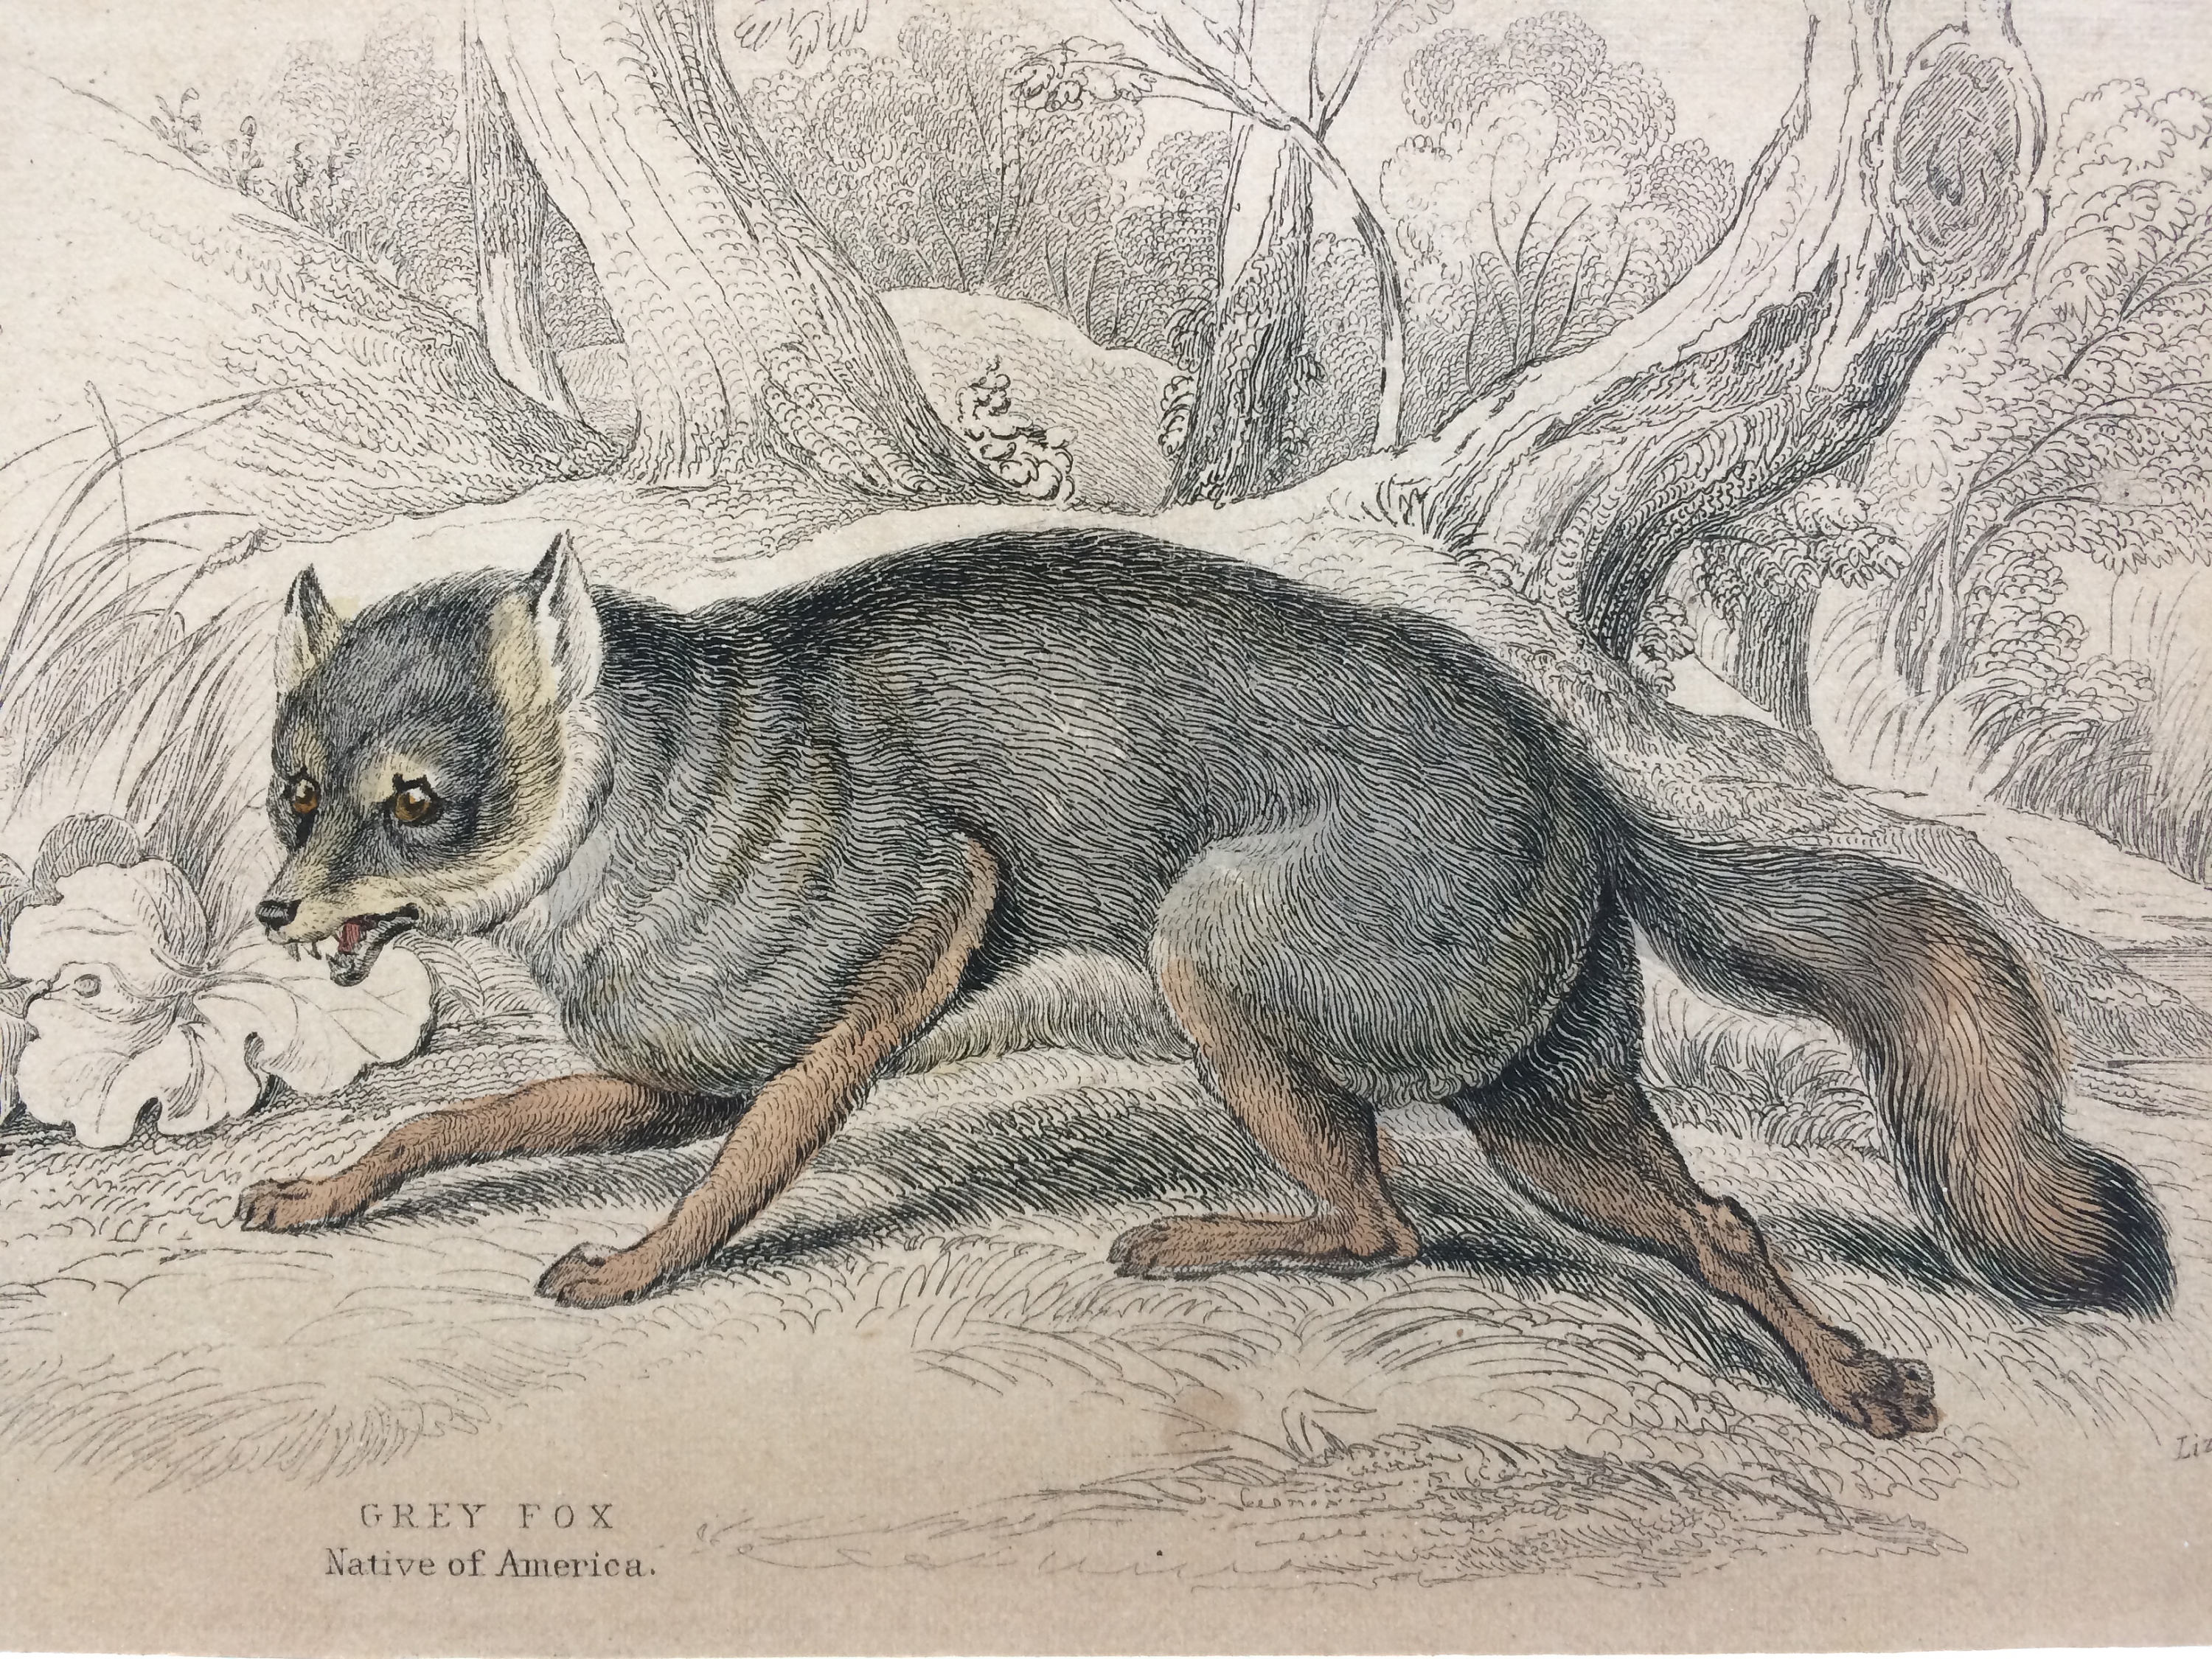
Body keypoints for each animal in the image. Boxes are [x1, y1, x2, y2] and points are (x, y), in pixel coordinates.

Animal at [235, 526, 2173, 1438]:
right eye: (294, 792)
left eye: (419, 804)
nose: (268, 909)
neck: (642, 777)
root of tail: (1580, 778)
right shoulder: (658, 1065)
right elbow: (450, 1122)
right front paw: (323, 1189)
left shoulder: (922, 919)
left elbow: (759, 1145)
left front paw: (642, 1264)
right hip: (1544, 1089)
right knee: (1708, 1223)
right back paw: (1849, 1375)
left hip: (1220, 955)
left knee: (1385, 1220)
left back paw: (1200, 1238)